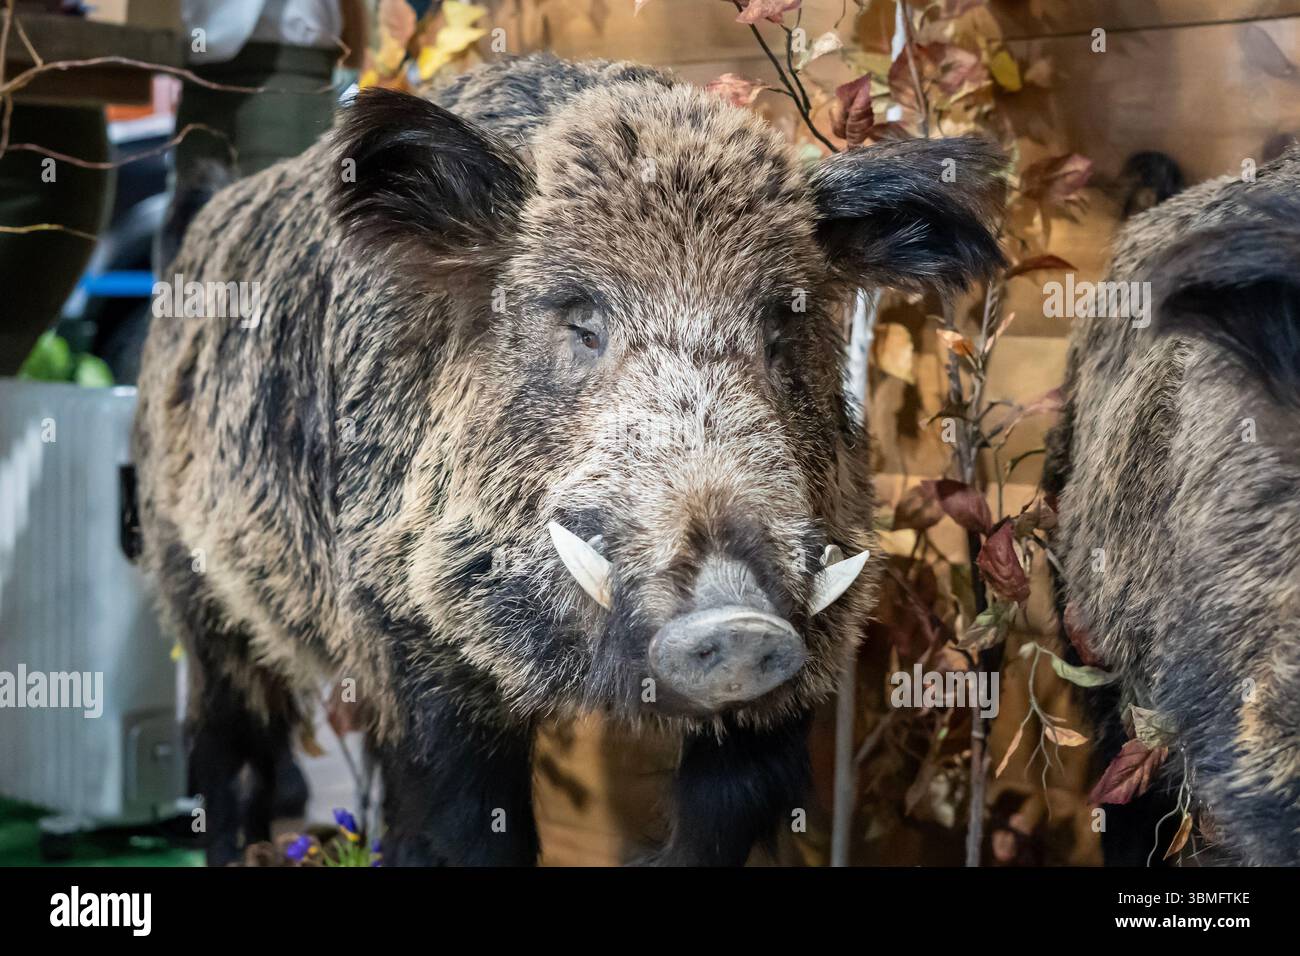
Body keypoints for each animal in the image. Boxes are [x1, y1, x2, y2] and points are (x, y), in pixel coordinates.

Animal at [134, 54, 1006, 866]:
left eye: (778, 328)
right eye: (582, 322)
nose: (738, 619)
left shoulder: (803, 655)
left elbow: (729, 807)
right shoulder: (404, 619)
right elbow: (468, 820)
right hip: (190, 577)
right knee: (226, 742)